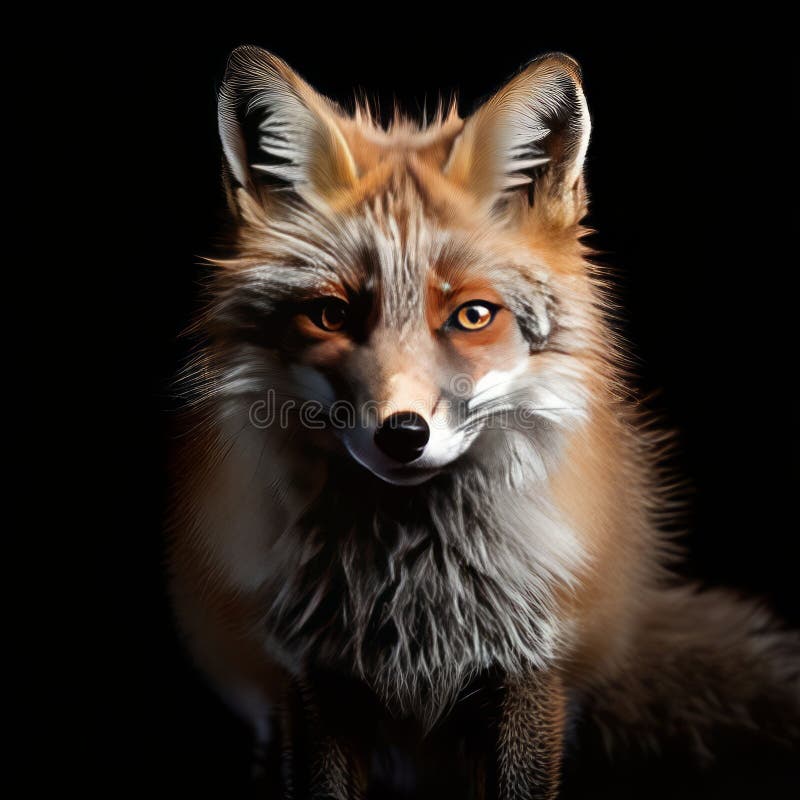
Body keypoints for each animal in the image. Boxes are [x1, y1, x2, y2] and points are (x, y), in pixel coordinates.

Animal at [168, 46, 800, 798]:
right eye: (331, 314)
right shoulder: (314, 677)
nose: (402, 435)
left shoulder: (532, 669)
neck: (415, 595)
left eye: (472, 315)